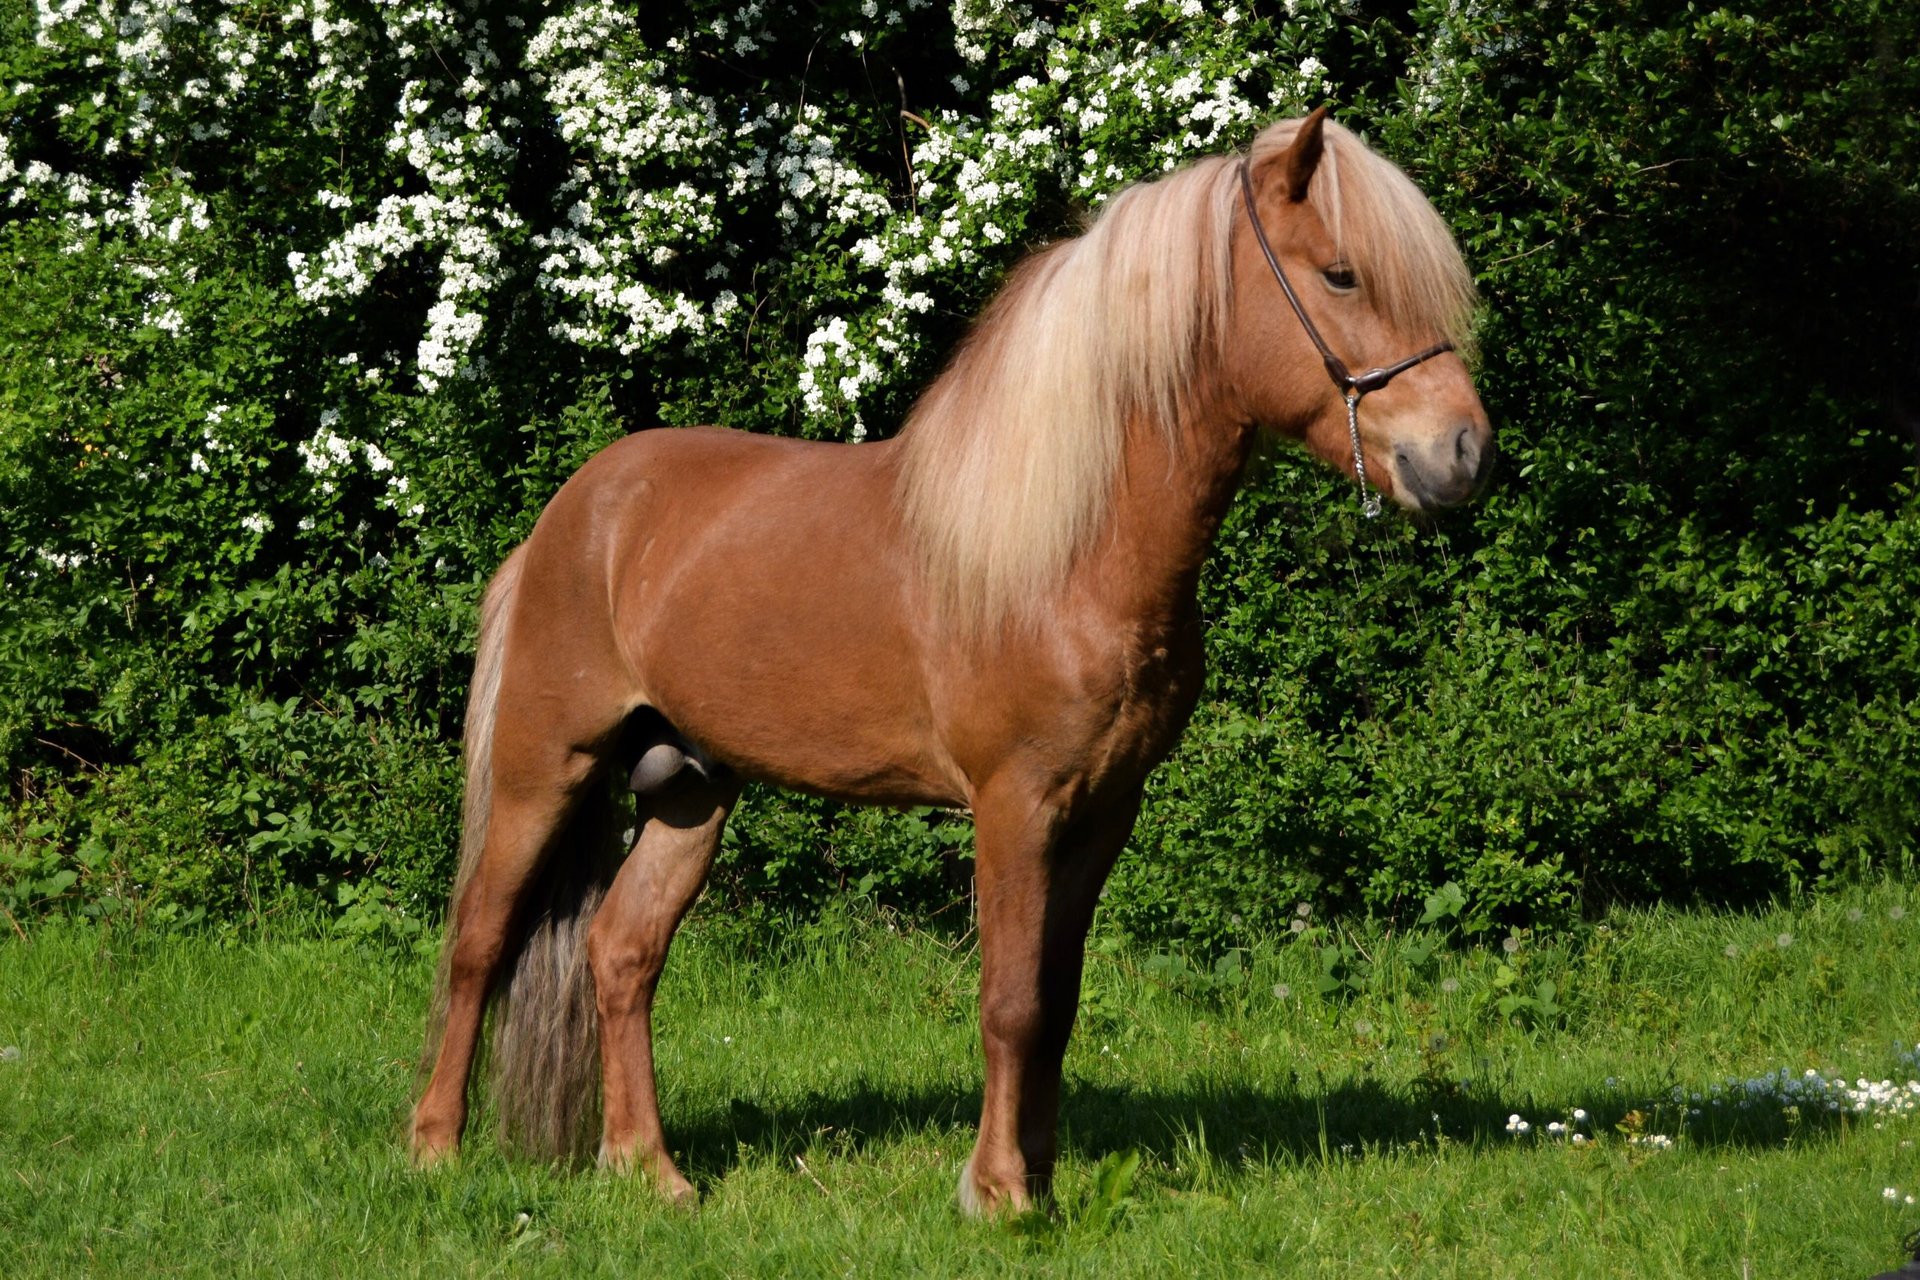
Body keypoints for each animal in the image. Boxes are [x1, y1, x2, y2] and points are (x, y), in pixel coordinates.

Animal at [410, 108, 1492, 1216]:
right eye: (1342, 275)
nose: (1462, 454)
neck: (1061, 550)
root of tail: (571, 515)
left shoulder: (1104, 808)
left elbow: (1057, 1000)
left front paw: (1041, 1177)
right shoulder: (1015, 802)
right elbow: (1010, 999)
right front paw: (999, 1192)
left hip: (690, 790)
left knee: (621, 952)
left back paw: (651, 1169)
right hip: (544, 768)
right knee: (479, 942)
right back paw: (436, 1148)